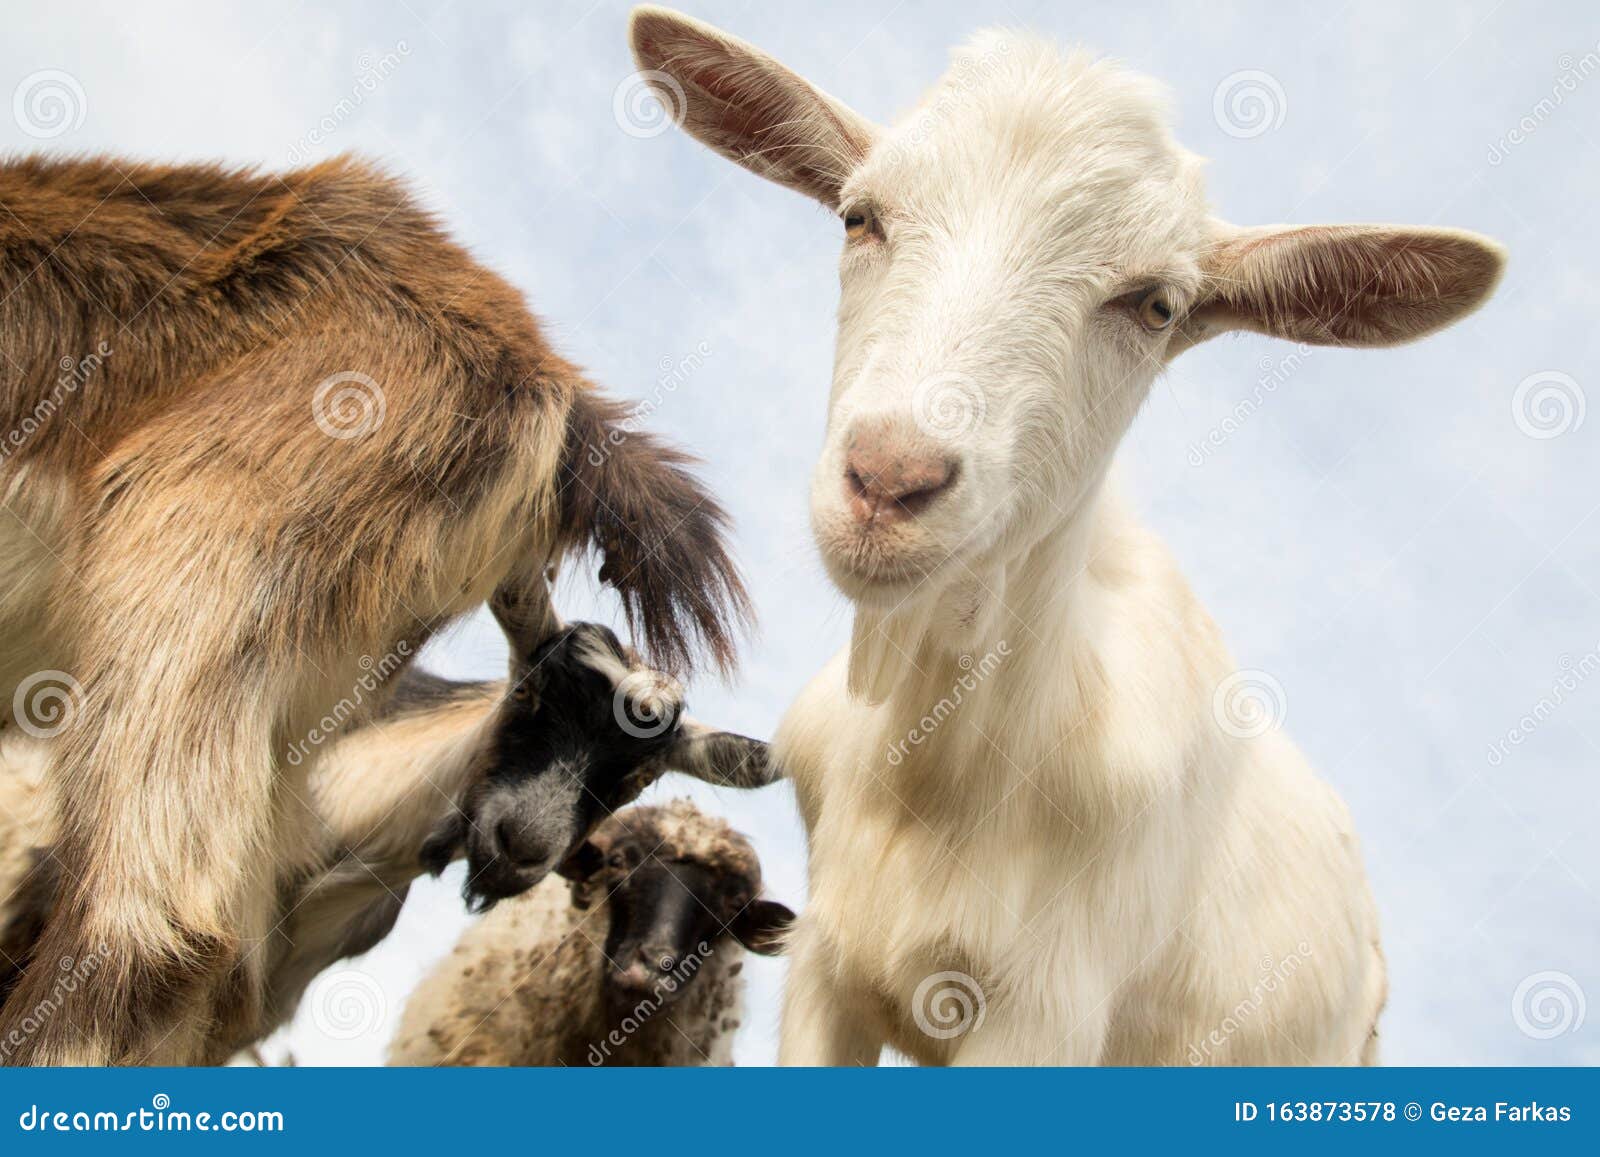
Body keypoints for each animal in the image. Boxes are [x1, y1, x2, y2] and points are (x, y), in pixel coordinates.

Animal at [632, 7, 1505, 1065]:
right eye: (857, 216)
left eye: (1157, 304)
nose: (889, 477)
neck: (935, 771)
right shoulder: (822, 965)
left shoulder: (1048, 1006)